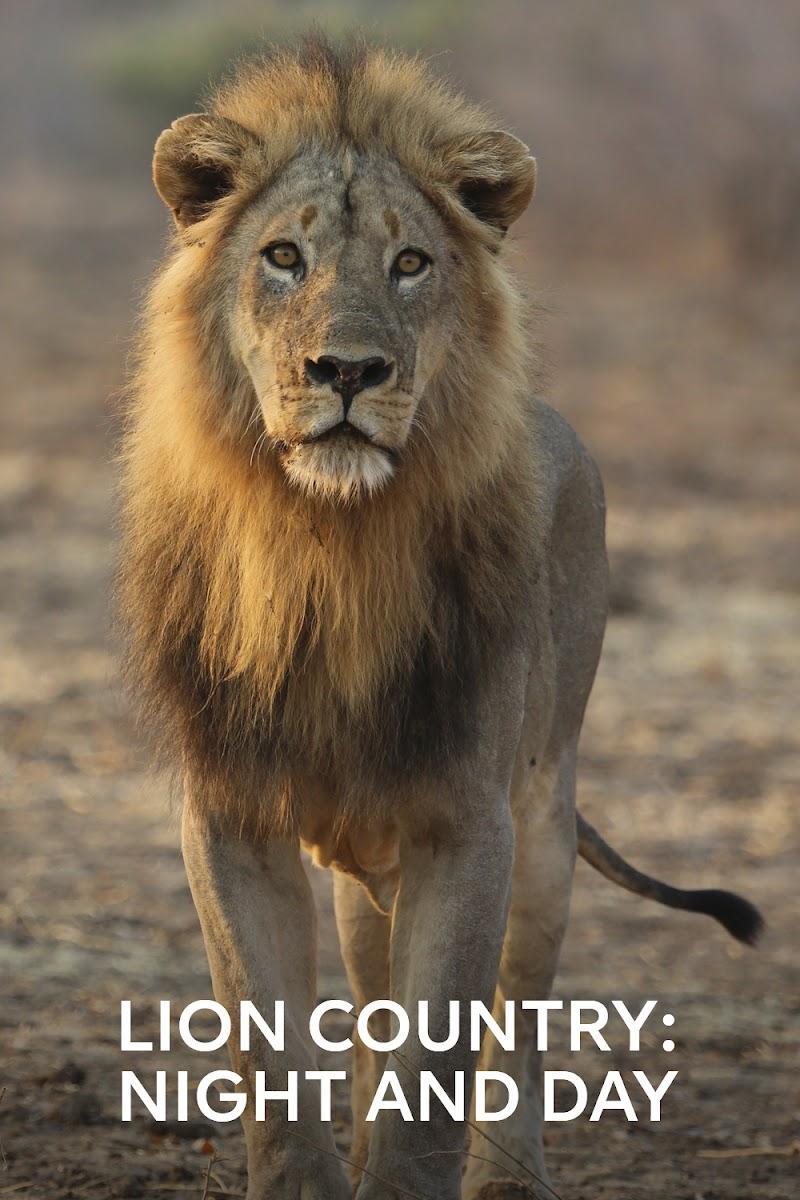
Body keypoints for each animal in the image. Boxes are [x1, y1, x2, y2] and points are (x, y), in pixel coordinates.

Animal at [118, 36, 762, 1200]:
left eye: (411, 263)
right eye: (283, 257)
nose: (346, 370)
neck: (328, 550)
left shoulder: (468, 819)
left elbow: (437, 1061)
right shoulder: (230, 812)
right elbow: (271, 1045)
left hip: (544, 809)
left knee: (519, 1006)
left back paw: (509, 1172)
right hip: (364, 863)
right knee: (375, 999)